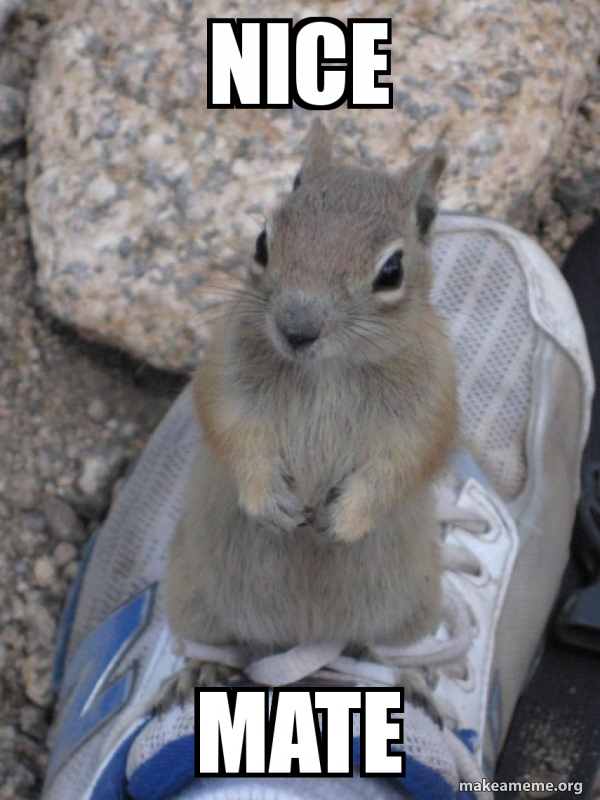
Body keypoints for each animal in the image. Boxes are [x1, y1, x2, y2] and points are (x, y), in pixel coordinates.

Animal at [159, 119, 458, 703]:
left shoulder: (428, 407)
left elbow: (401, 464)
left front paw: (345, 519)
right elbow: (236, 434)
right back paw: (201, 670)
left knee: (366, 644)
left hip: (413, 610)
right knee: (227, 644)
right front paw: (268, 500)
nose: (296, 329)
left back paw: (401, 676)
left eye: (392, 271)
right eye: (262, 241)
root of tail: (305, 634)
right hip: (189, 596)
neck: (326, 370)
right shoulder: (226, 377)